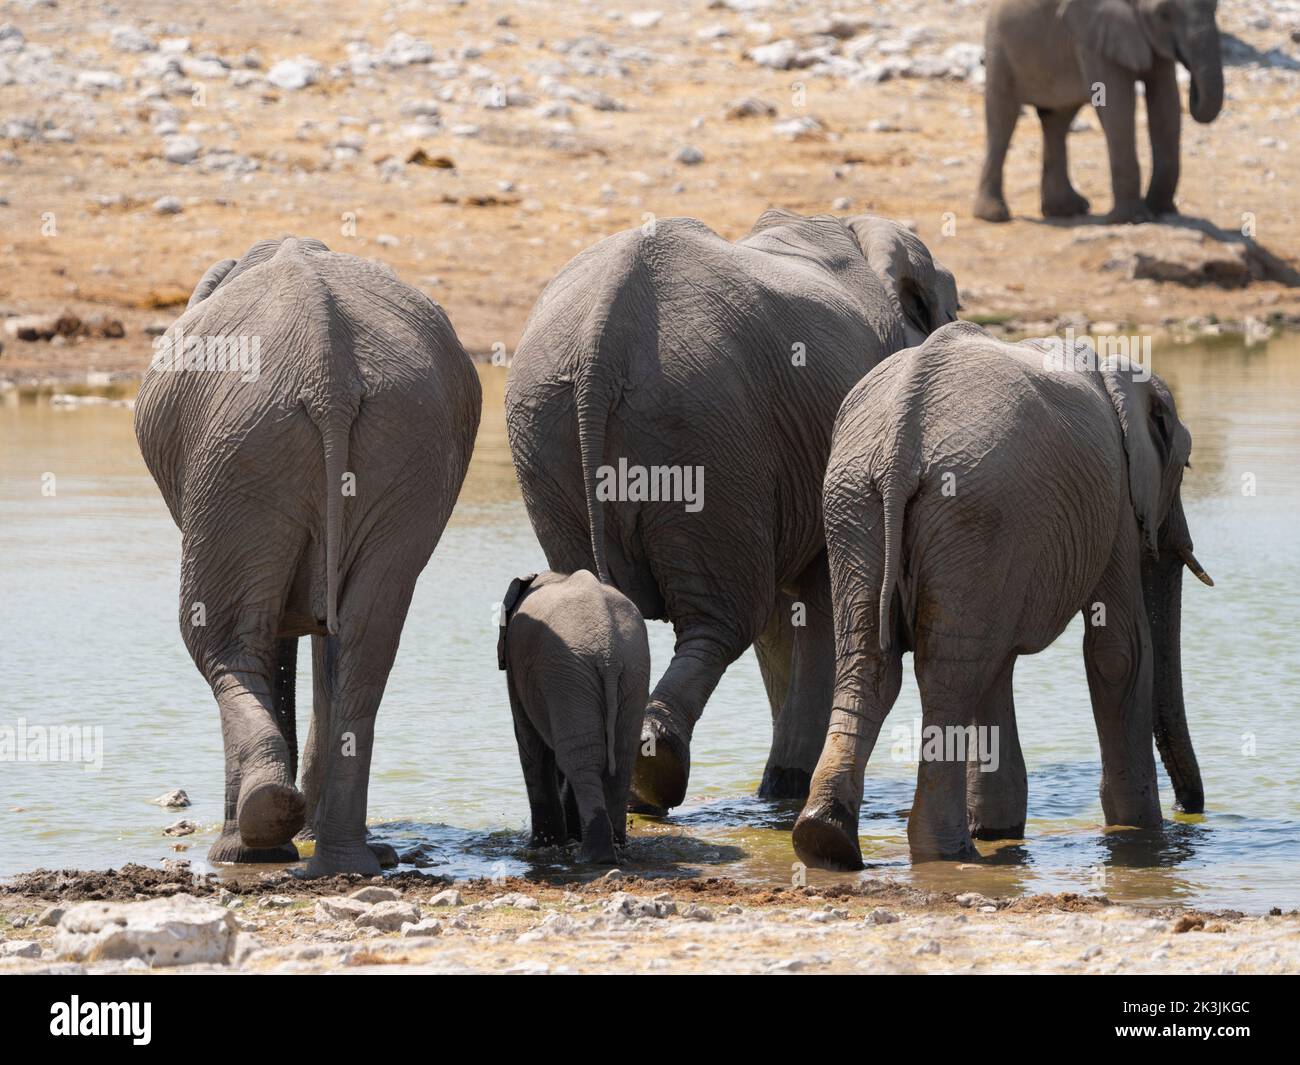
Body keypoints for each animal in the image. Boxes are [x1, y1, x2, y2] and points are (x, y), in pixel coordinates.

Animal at [134, 236, 481, 876]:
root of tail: (329, 376)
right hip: (399, 451)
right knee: (366, 647)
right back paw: (346, 860)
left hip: (238, 454)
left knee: (220, 640)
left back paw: (248, 842)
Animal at [499, 570, 651, 863]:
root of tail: (608, 654)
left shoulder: (516, 669)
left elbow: (529, 743)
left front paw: (542, 846)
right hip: (630, 673)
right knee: (620, 757)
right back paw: (615, 848)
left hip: (569, 677)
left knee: (581, 760)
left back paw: (593, 856)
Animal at [505, 209, 959, 814]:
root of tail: (603, 339)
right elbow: (813, 607)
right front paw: (787, 787)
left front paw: (780, 792)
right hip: (703, 433)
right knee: (727, 616)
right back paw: (657, 769)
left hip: (554, 435)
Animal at [792, 321, 1211, 869]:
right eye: (1185, 466)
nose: (1192, 812)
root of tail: (900, 440)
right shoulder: (1116, 499)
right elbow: (1118, 652)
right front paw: (1140, 834)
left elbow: (998, 661)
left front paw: (999, 829)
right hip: (969, 511)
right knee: (945, 676)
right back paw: (947, 851)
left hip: (855, 507)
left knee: (879, 665)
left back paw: (826, 840)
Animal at [974, 0, 1225, 224]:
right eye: (1163, 14)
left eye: (1216, 7)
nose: (1192, 81)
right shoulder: (1094, 35)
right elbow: (1118, 104)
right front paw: (1133, 219)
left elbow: (1166, 103)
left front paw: (1162, 212)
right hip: (999, 46)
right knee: (1003, 118)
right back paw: (993, 216)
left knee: (1057, 119)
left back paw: (1066, 210)